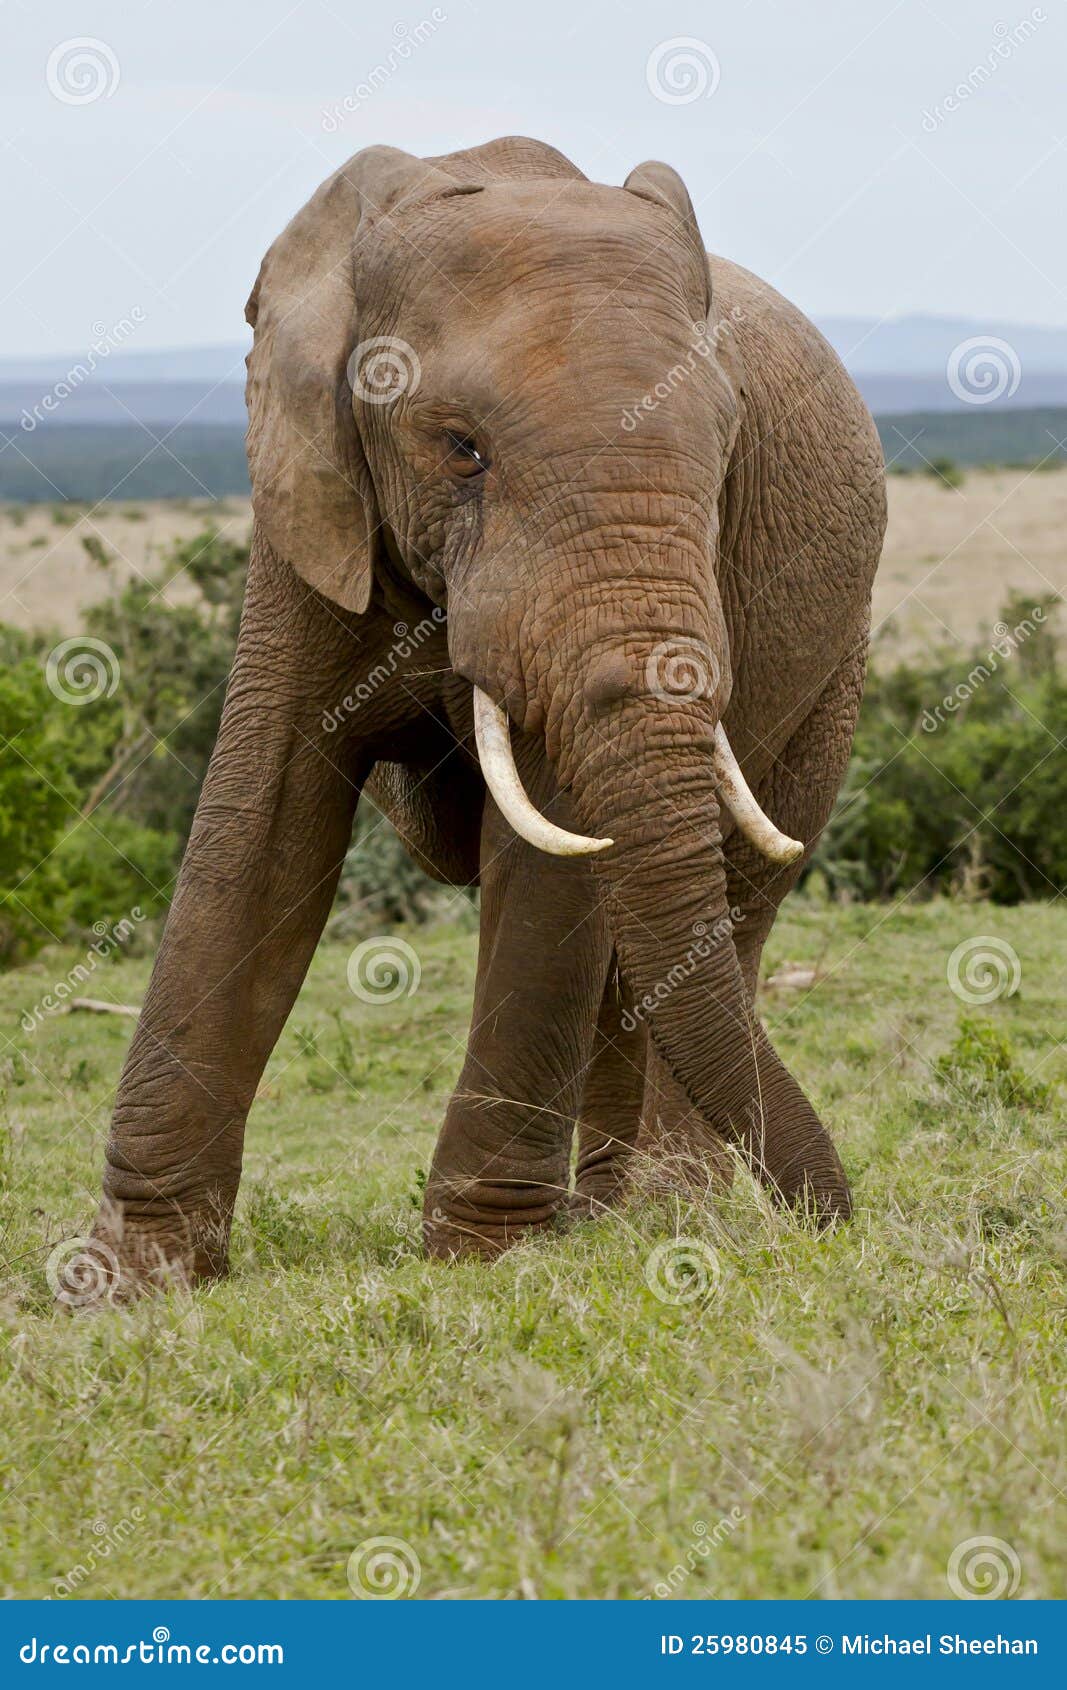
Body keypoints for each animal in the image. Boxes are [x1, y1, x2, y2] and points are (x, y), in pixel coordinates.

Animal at [84, 135, 885, 1294]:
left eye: (725, 450)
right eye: (462, 448)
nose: (837, 1219)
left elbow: (552, 861)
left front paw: (481, 1263)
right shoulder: (313, 500)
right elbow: (260, 820)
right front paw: (122, 1283)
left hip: (838, 655)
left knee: (733, 899)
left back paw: (656, 1211)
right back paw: (610, 1214)